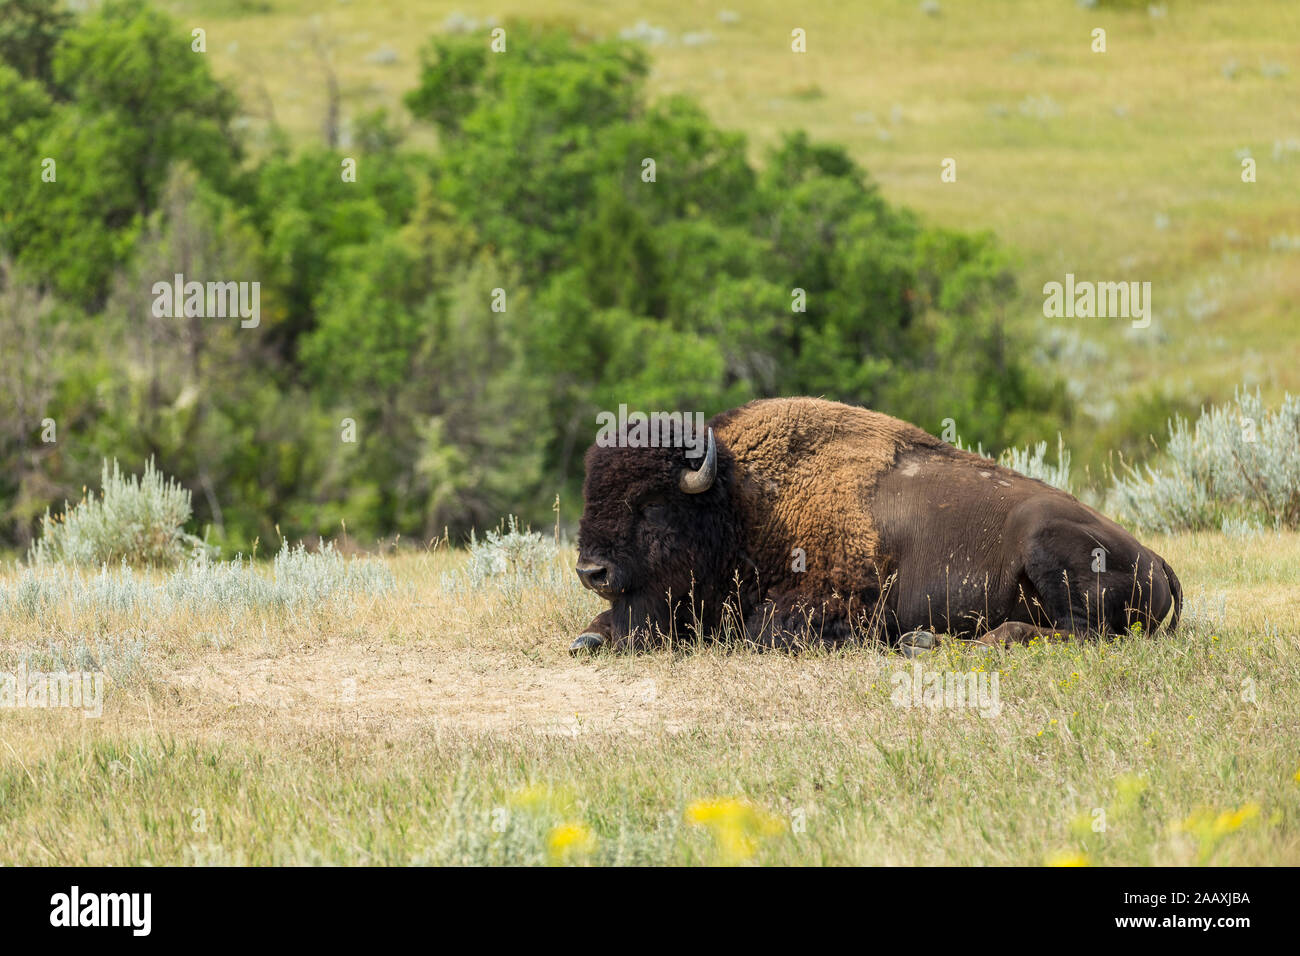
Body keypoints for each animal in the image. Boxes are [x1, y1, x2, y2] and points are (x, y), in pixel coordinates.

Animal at [570, 397, 1181, 654]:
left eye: (652, 504)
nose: (590, 571)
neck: (743, 502)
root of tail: (1156, 558)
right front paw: (589, 636)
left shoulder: (828, 602)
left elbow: (757, 632)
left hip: (1044, 543)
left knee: (1077, 634)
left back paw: (941, 642)